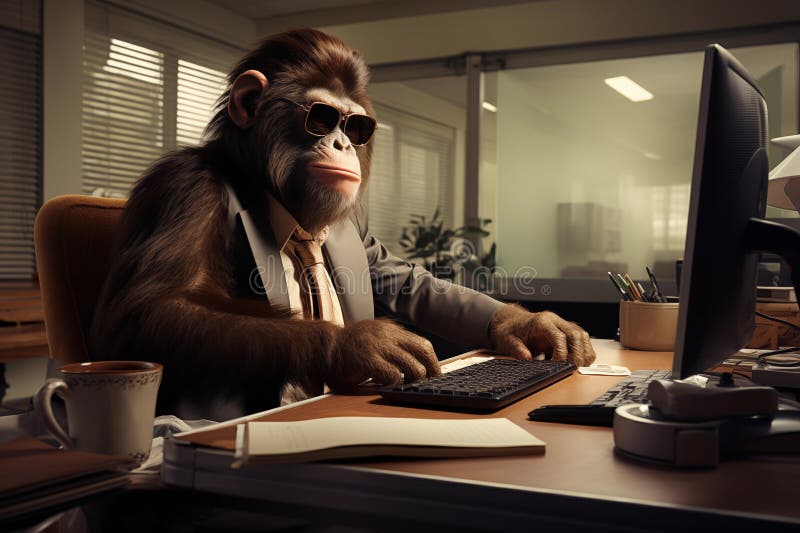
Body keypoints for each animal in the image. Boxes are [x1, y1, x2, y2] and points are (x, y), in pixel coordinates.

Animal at [90, 28, 595, 418]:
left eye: (357, 125)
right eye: (321, 116)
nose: (342, 142)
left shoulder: (361, 230)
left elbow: (407, 278)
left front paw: (529, 324)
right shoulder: (186, 189)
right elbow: (153, 310)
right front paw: (361, 344)